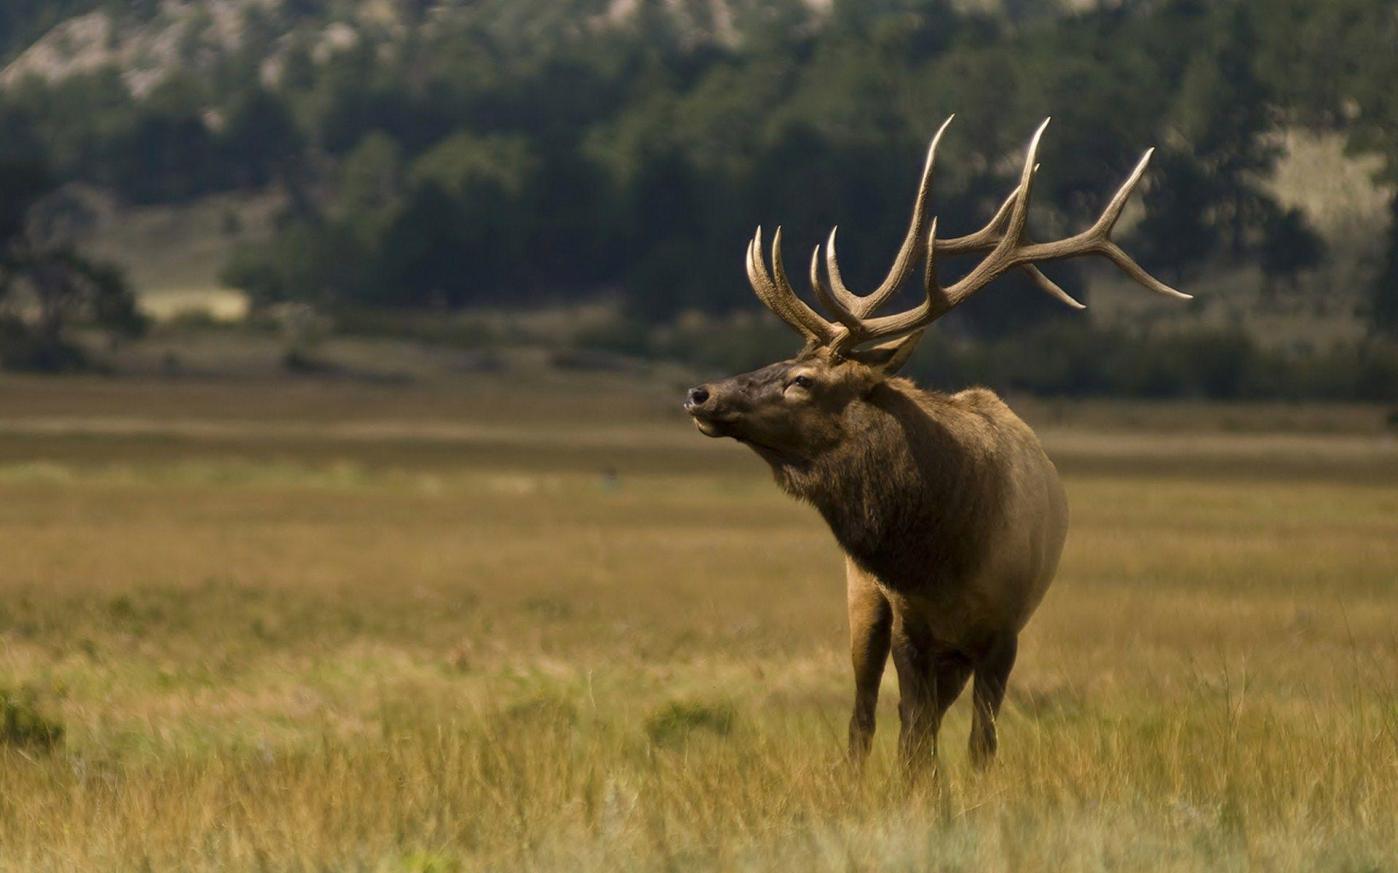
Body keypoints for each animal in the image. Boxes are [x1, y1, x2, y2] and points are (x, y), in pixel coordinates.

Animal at [684, 117, 1190, 772]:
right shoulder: (909, 625)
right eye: (783, 360)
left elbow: (979, 744)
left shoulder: (1004, 633)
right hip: (863, 599)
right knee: (864, 716)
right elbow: (912, 740)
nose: (700, 393)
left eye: (802, 380)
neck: (944, 553)